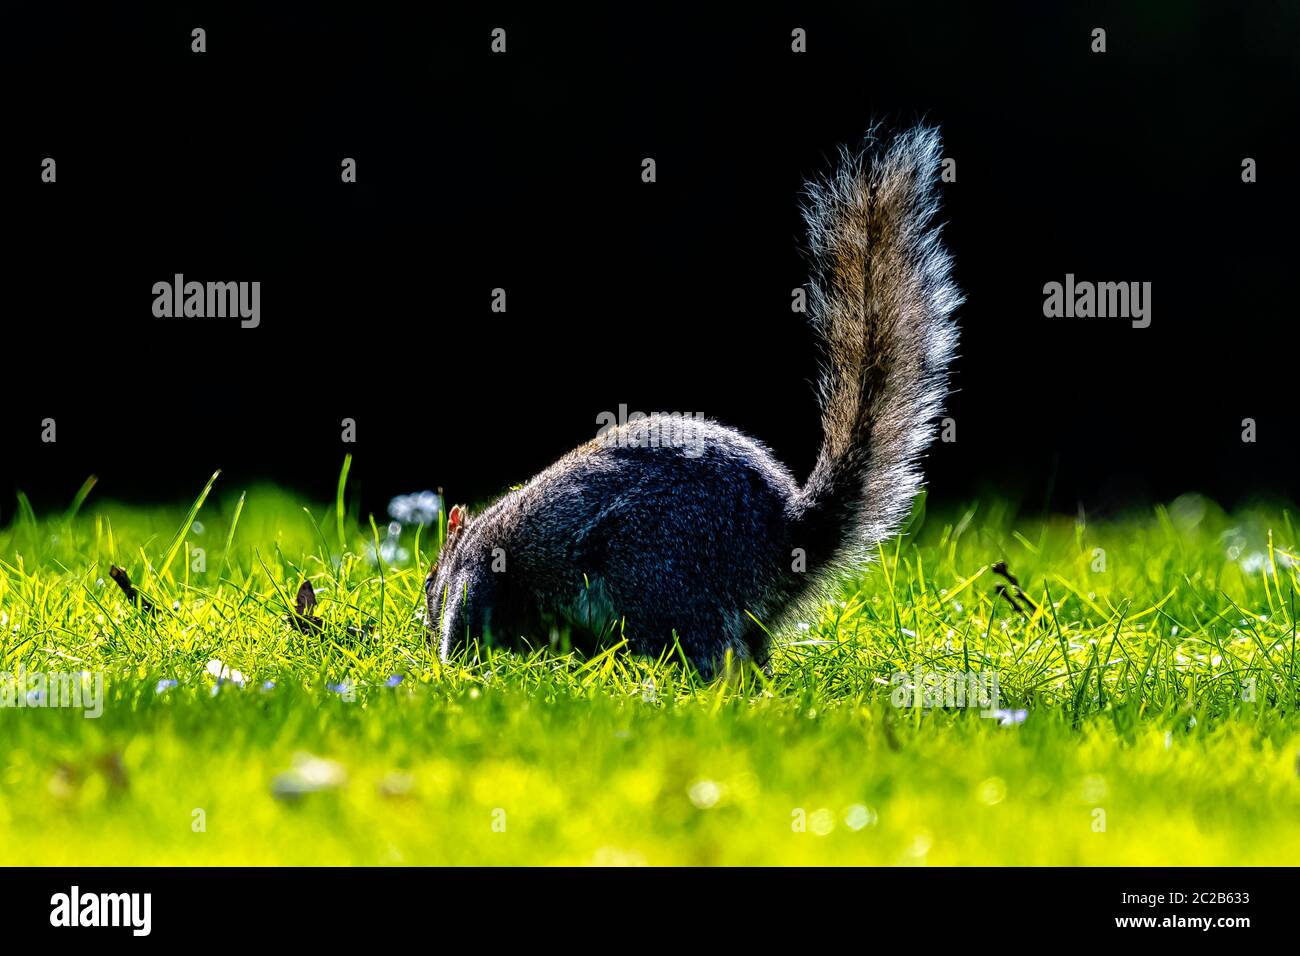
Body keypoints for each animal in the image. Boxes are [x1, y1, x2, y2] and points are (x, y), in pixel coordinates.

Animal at [427, 126, 961, 679]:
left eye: (428, 580)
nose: (421, 627)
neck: (478, 538)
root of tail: (783, 541)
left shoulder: (479, 575)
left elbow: (465, 618)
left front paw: (449, 668)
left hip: (661, 577)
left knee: (708, 654)